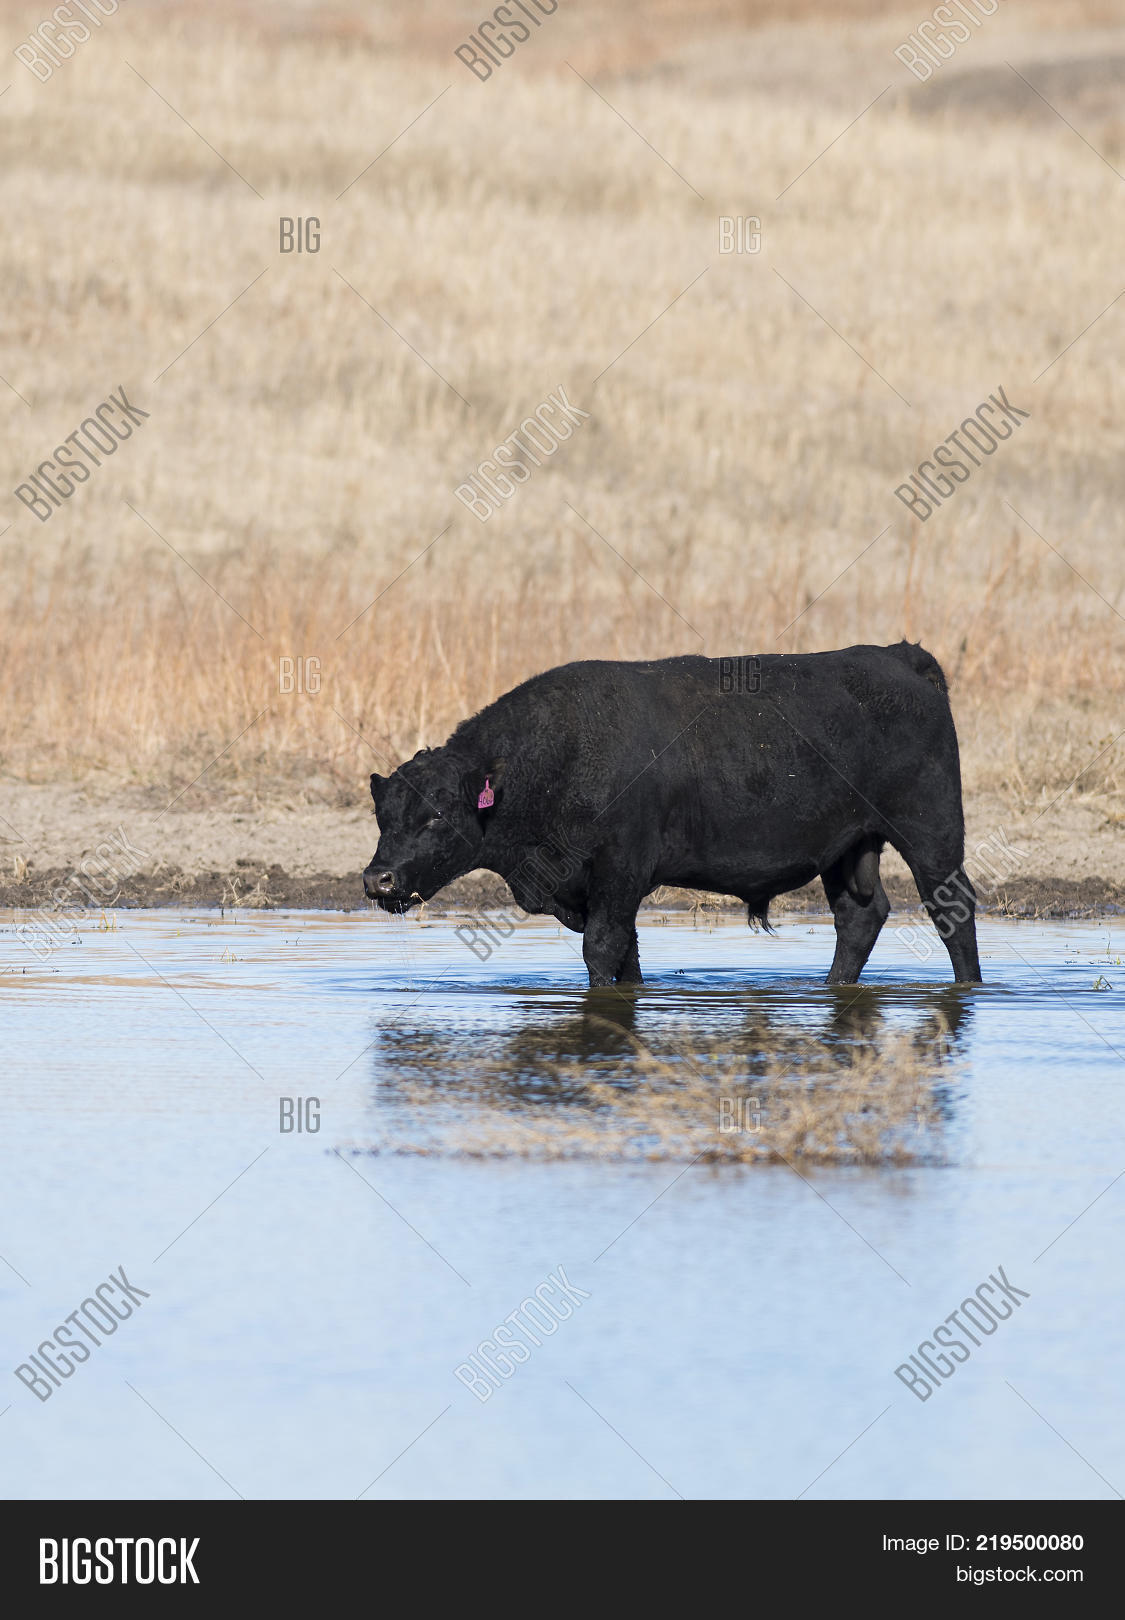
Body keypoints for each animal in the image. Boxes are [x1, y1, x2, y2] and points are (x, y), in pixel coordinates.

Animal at [363, 641, 982, 988]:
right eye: (382, 814)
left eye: (436, 815)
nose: (378, 878)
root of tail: (897, 657)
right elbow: (626, 954)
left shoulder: (620, 871)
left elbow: (603, 948)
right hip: (848, 847)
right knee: (860, 916)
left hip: (931, 833)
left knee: (951, 910)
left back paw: (970, 986)